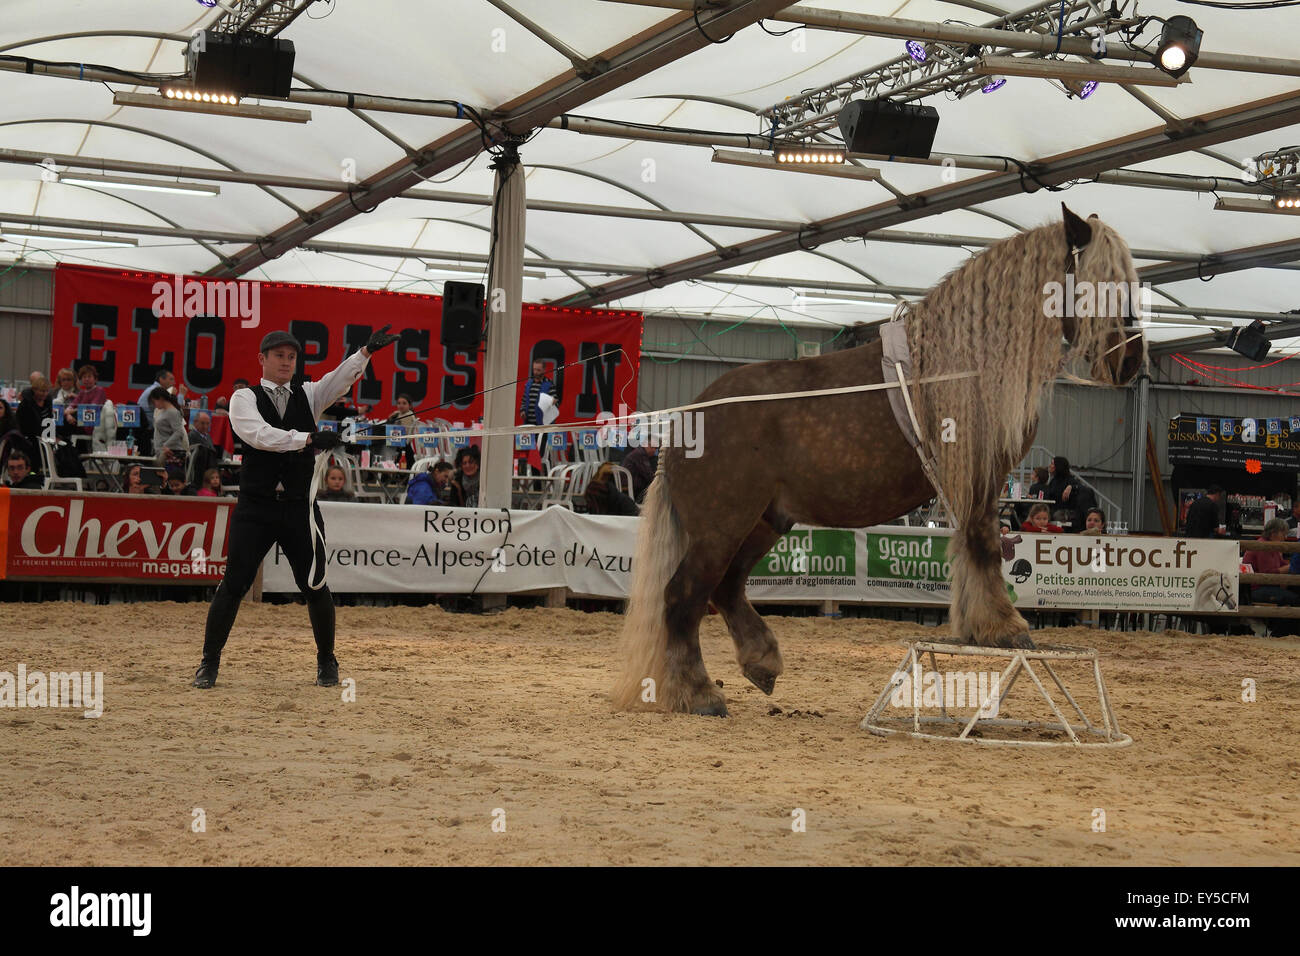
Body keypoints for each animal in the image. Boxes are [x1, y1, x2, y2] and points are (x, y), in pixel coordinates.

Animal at [612, 205, 1147, 716]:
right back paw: (698, 693)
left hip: (763, 521)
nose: (1133, 362)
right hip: (722, 527)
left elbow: (969, 549)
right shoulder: (980, 476)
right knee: (683, 596)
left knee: (724, 590)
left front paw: (979, 627)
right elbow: (984, 544)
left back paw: (760, 662)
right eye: (1103, 284)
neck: (965, 363)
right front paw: (1004, 628)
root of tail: (687, 420)